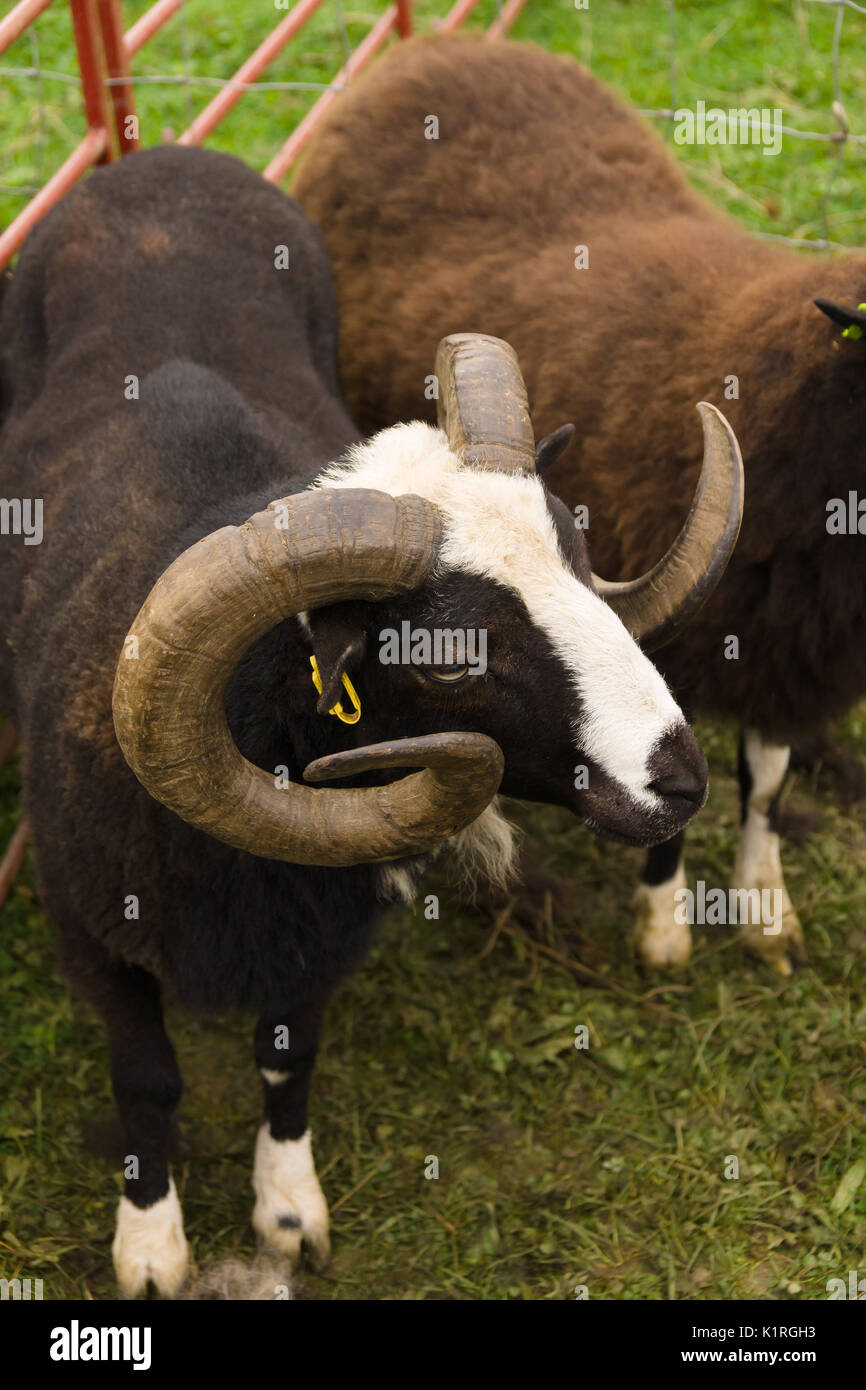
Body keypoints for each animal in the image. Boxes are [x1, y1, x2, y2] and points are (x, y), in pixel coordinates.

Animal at [0, 143, 741, 1296]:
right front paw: (152, 1245)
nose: (680, 778)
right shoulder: (92, 937)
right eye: (450, 658)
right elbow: (150, 1080)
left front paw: (287, 1213)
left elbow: (288, 1056)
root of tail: (161, 152)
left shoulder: (322, 935)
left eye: (579, 554)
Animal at [293, 31, 866, 976]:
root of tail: (433, 44)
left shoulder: (785, 645)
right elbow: (679, 792)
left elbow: (765, 781)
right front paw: (664, 927)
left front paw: (763, 908)